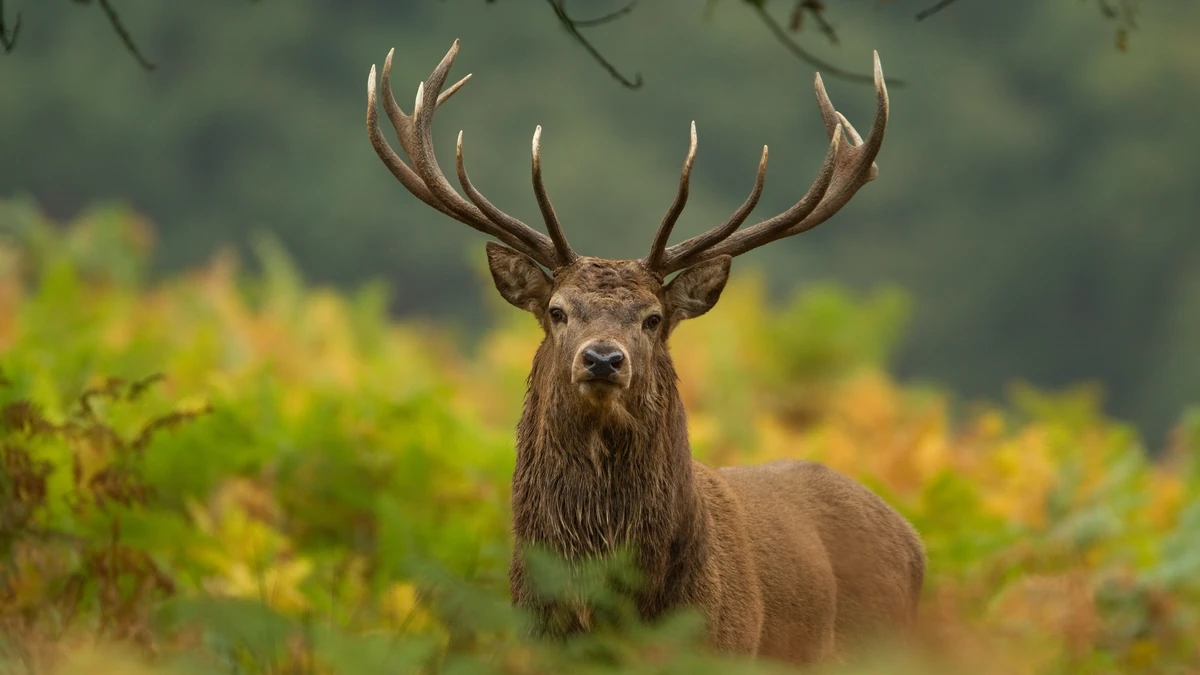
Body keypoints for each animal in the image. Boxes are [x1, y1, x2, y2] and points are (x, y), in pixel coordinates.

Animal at [364, 40, 925, 666]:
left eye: (653, 319)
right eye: (557, 310)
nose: (603, 359)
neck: (608, 615)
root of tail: (916, 545)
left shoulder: (725, 647)